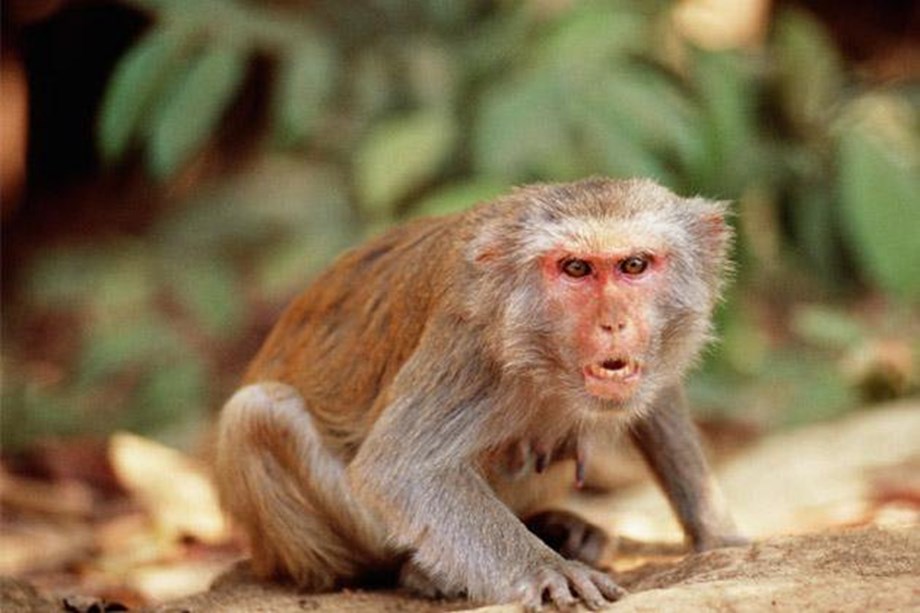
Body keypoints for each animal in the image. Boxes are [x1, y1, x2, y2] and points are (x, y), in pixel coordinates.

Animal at [214, 177, 746, 610]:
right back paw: (415, 572)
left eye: (634, 265)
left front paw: (718, 534)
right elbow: (402, 470)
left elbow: (658, 403)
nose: (613, 323)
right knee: (258, 413)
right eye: (576, 269)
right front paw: (546, 570)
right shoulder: (470, 345)